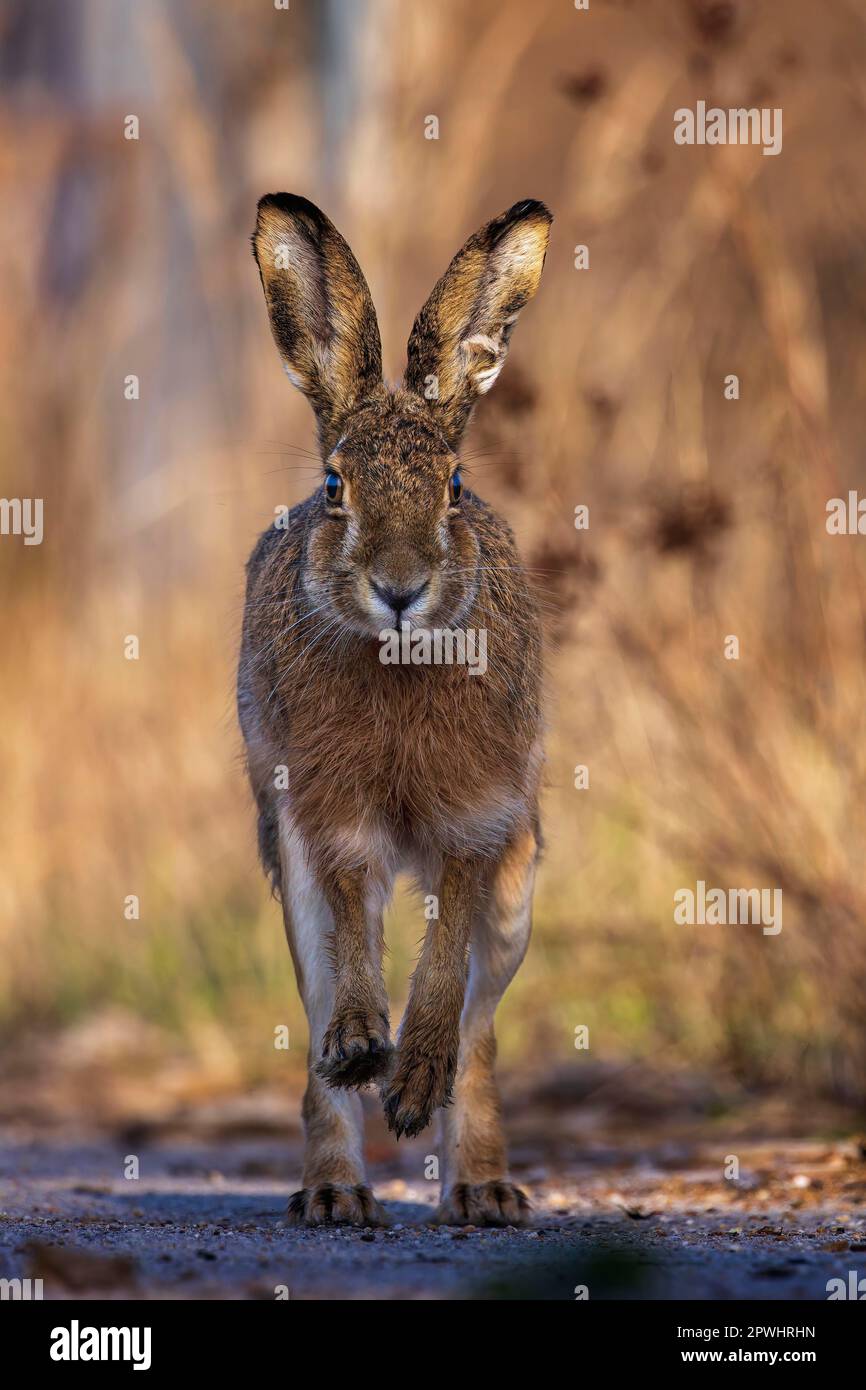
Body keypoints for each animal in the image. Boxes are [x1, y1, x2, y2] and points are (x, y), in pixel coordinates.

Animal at [238, 193, 551, 1227]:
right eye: (336, 486)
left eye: (454, 486)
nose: (402, 588)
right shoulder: (326, 818)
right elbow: (350, 931)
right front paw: (363, 1046)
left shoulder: (480, 821)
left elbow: (448, 957)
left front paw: (412, 1084)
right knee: (318, 1027)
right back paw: (336, 1190)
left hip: (520, 897)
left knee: (482, 1036)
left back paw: (481, 1188)